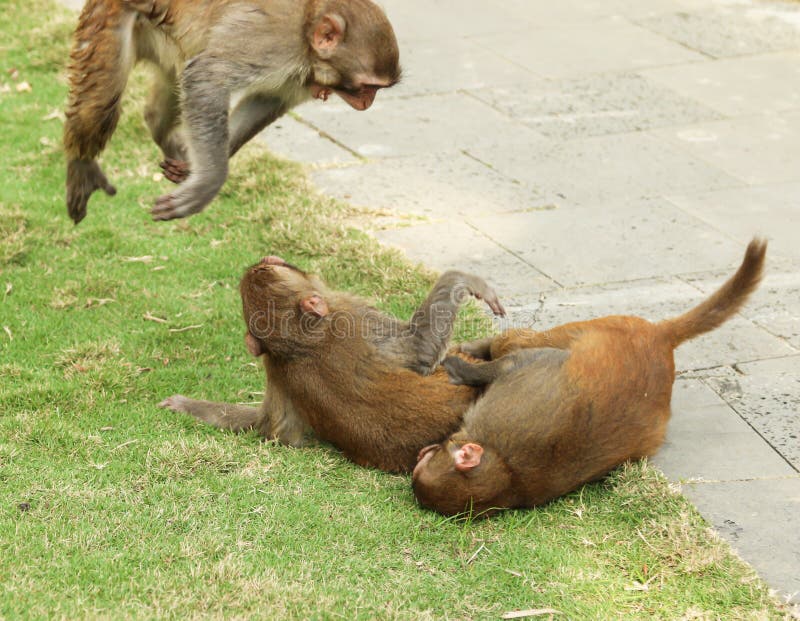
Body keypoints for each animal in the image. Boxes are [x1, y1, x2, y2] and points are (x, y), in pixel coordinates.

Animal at [63, 0, 401, 224]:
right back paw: (82, 165)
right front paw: (209, 181)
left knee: (163, 104)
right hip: (109, 19)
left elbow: (266, 98)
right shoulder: (269, 42)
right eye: (366, 87)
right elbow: (206, 78)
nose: (368, 103)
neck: (306, 31)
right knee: (100, 107)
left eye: (375, 90)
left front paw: (196, 167)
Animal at [159, 256, 506, 473]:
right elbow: (421, 347)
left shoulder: (277, 371)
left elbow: (271, 428)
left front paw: (184, 405)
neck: (304, 343)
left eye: (270, 266)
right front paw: (465, 280)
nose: (266, 259)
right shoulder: (354, 316)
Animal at [412, 239, 767, 517]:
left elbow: (520, 361)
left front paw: (463, 367)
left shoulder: (517, 398)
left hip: (601, 325)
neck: (506, 471)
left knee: (520, 342)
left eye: (430, 456)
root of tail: (659, 338)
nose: (420, 453)